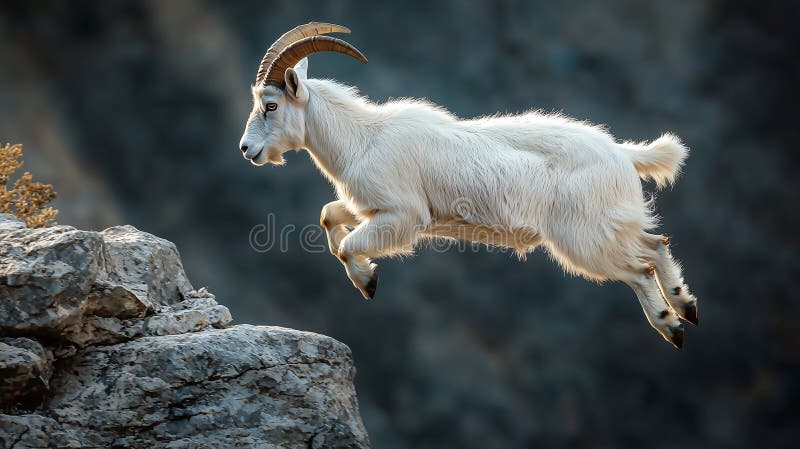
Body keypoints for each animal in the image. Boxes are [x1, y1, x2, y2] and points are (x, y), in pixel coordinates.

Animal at [239, 23, 698, 348]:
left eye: (271, 105)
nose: (246, 149)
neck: (362, 138)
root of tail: (623, 155)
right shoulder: (368, 207)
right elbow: (329, 218)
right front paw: (368, 278)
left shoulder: (403, 214)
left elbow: (348, 245)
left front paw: (368, 283)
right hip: (609, 225)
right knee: (654, 245)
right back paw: (686, 308)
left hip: (581, 237)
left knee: (638, 268)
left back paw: (671, 327)